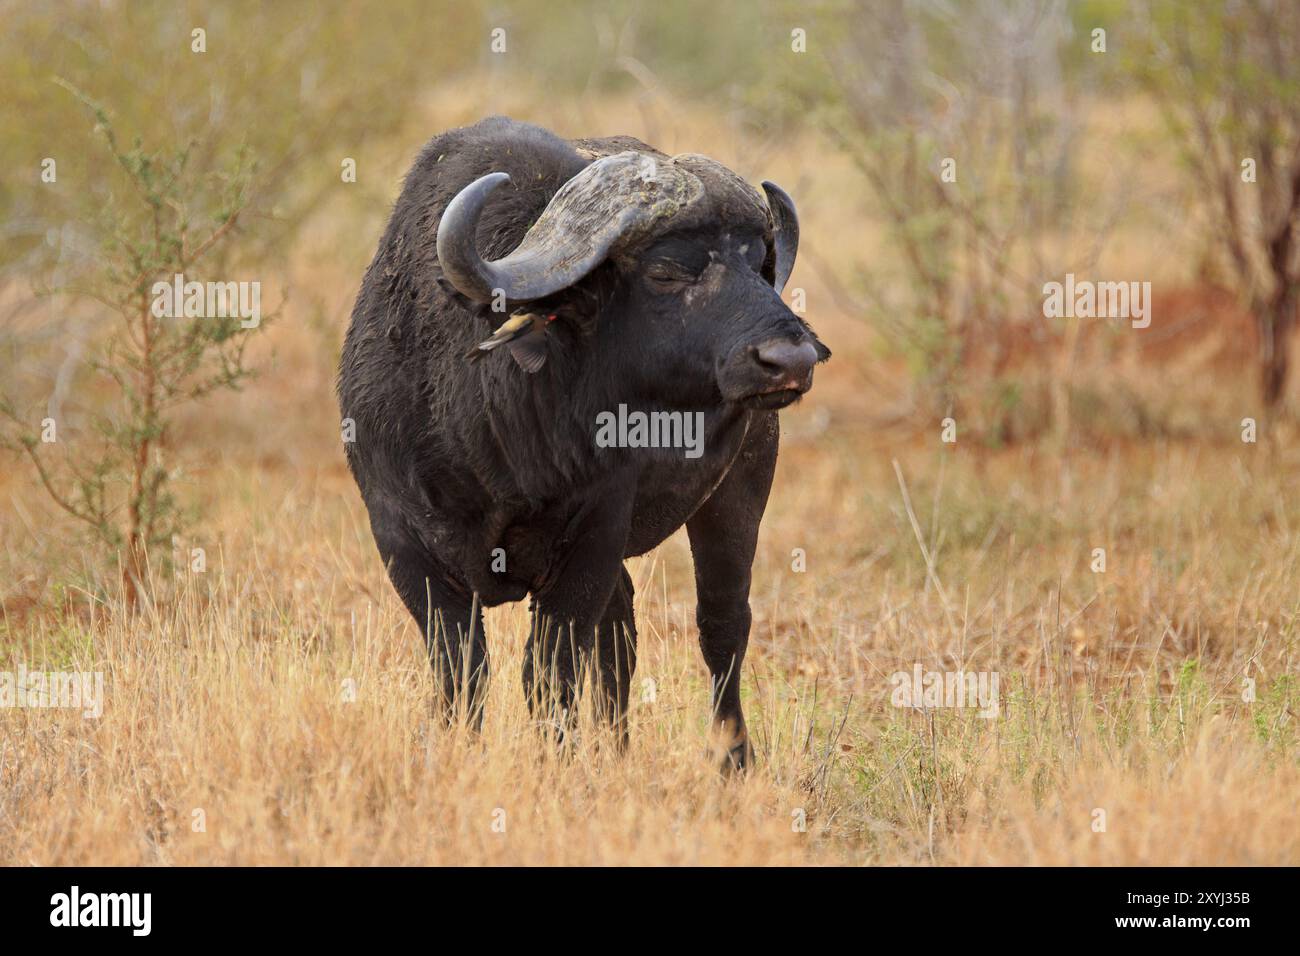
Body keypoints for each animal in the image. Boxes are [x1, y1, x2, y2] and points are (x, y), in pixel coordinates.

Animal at [338, 117, 828, 769]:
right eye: (666, 272)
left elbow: (549, 674)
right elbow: (462, 672)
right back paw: (615, 746)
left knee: (722, 625)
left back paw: (732, 760)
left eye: (759, 263)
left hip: (740, 491)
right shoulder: (403, 541)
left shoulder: (592, 534)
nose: (791, 358)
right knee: (622, 630)